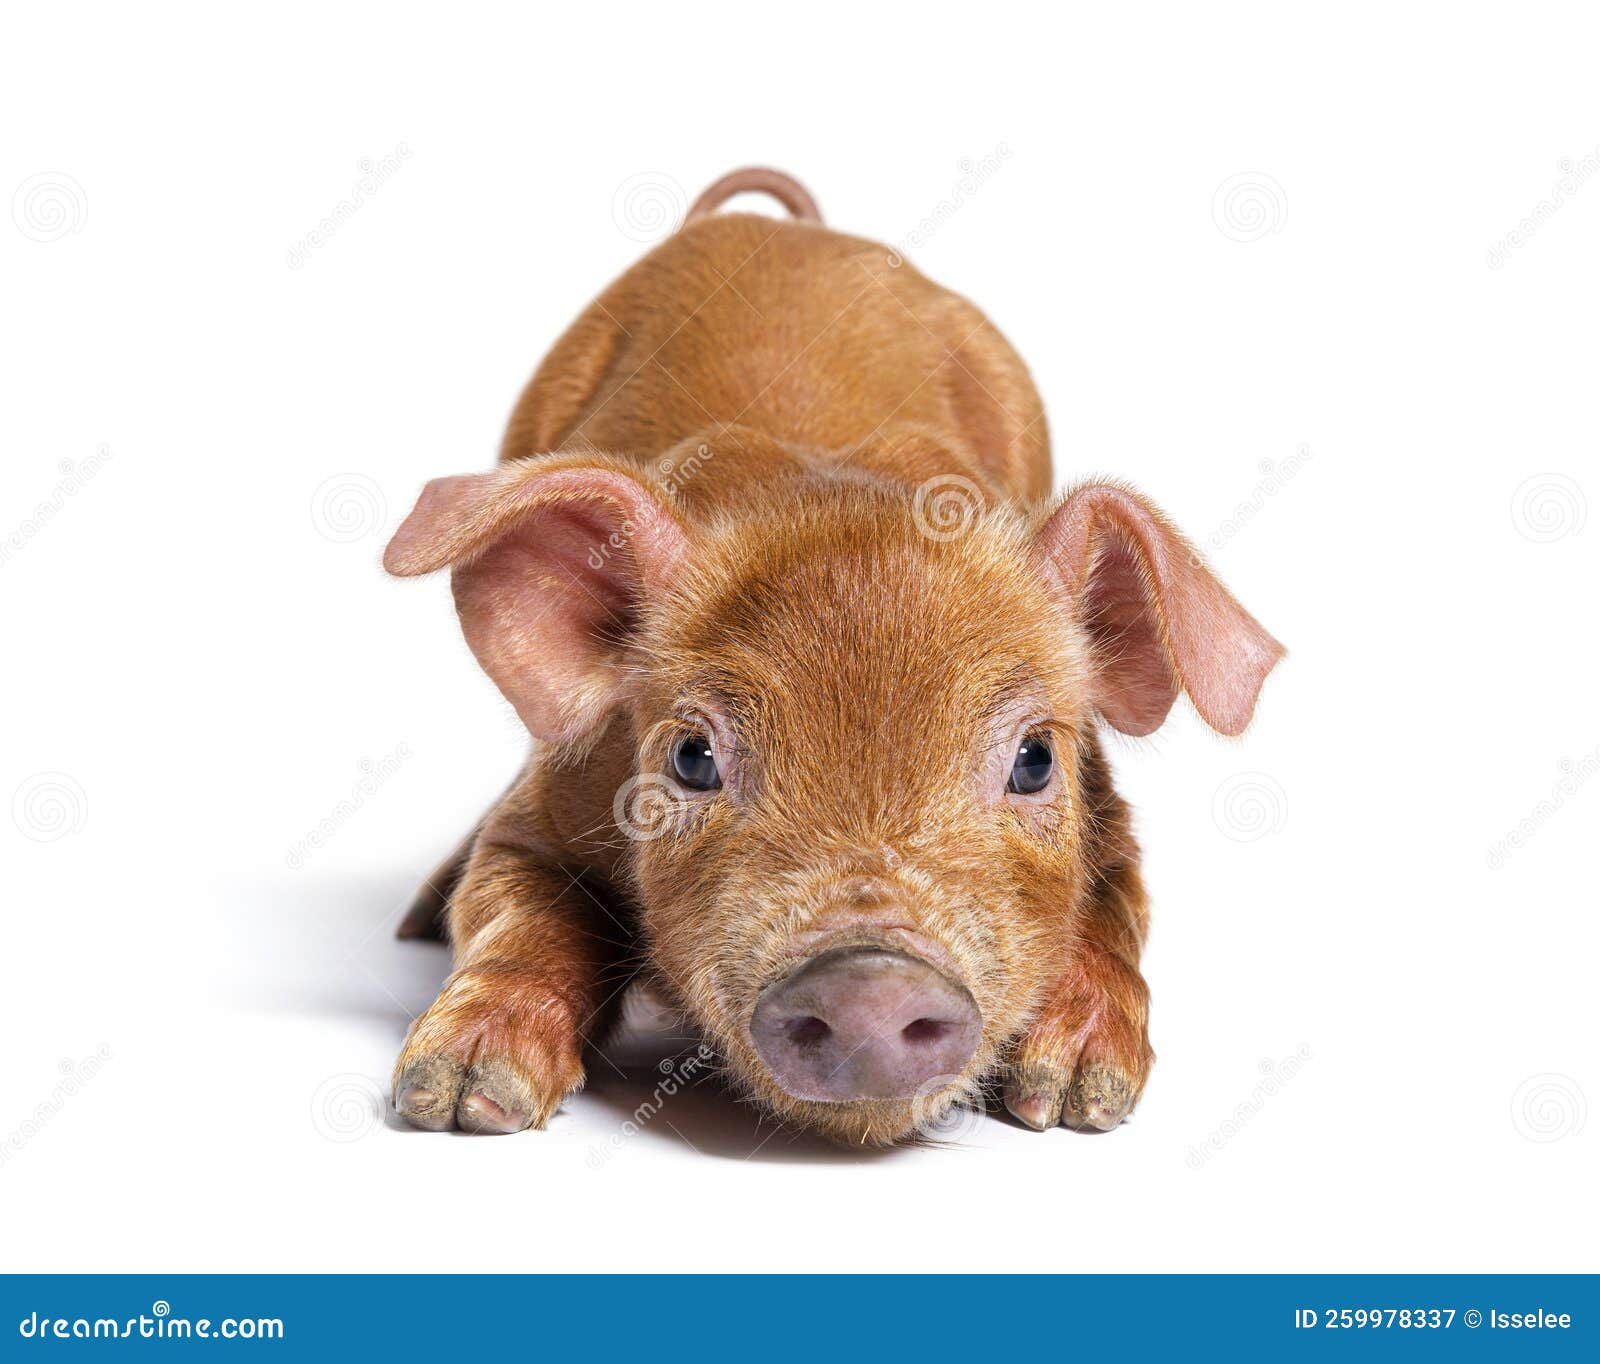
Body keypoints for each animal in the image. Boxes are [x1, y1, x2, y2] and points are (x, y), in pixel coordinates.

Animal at [383, 167, 1283, 1145]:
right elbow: (517, 902)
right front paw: (462, 1096)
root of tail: (789, 233)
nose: (869, 982)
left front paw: (1076, 1099)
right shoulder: (553, 798)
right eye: (691, 757)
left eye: (1036, 760)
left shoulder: (1108, 819)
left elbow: (1114, 910)